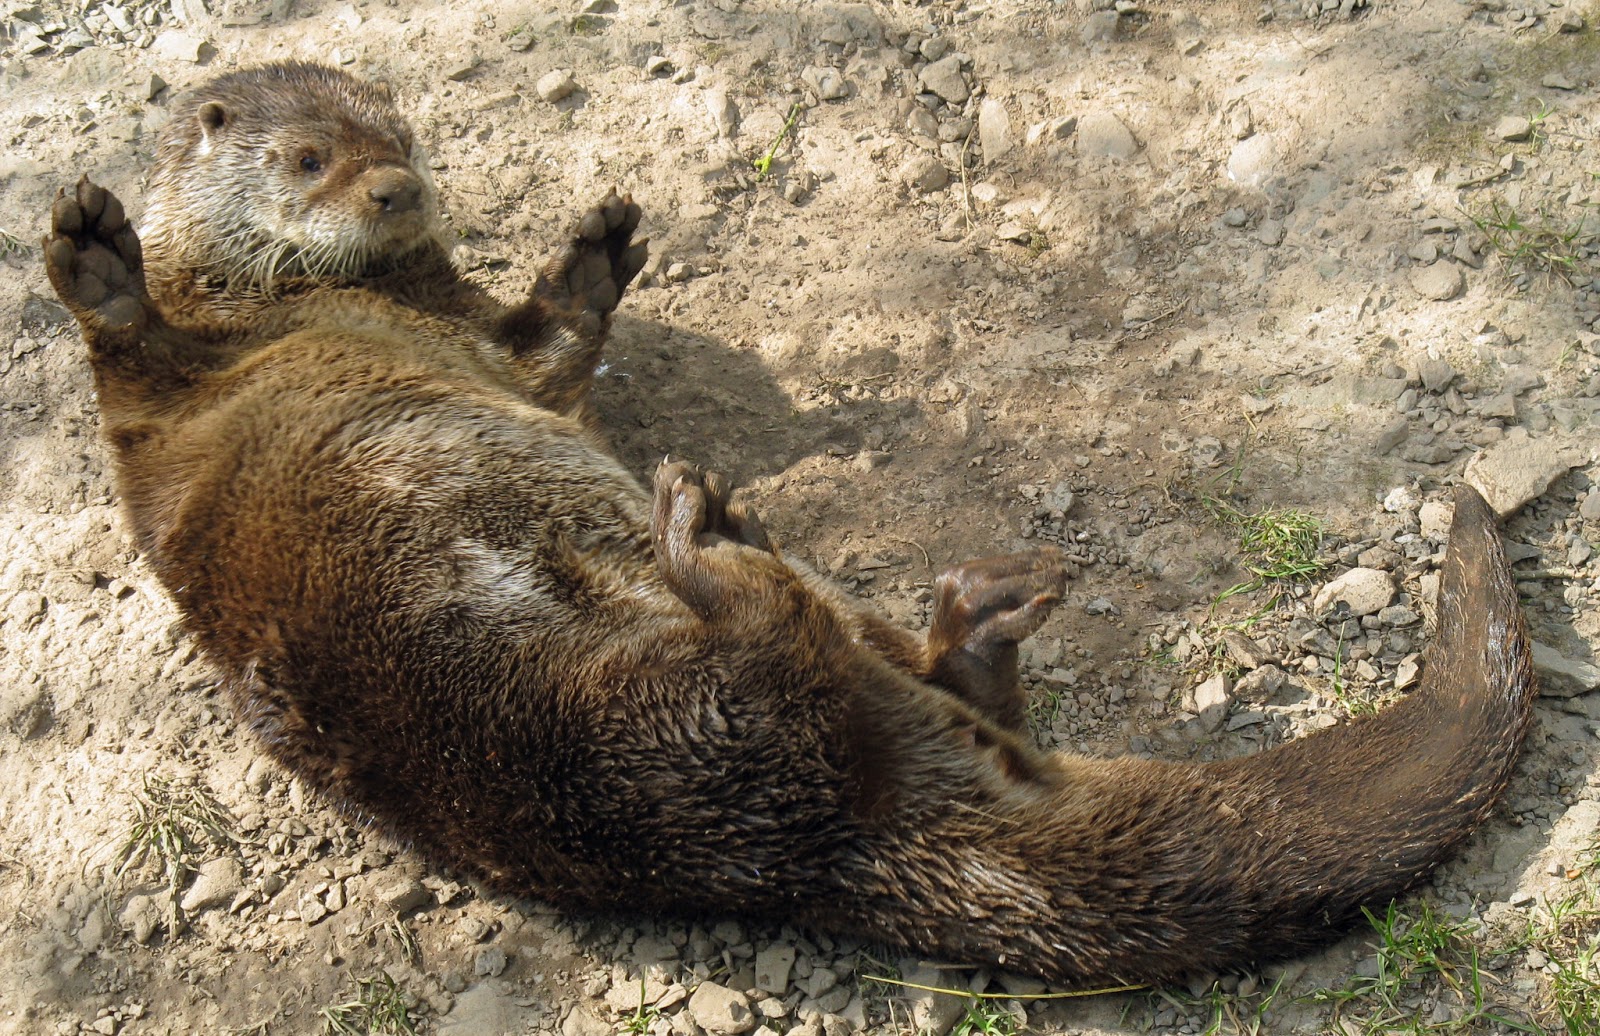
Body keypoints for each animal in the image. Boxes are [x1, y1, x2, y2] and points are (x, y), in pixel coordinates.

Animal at [44, 61, 1536, 985]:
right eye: (309, 159)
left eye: (401, 142)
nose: (396, 192)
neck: (309, 303)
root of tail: (843, 846)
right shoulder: (166, 412)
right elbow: (125, 350)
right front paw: (90, 252)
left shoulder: (481, 343)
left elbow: (552, 353)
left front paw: (598, 246)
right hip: (631, 737)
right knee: (778, 662)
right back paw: (708, 536)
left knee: (914, 682)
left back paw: (945, 611)